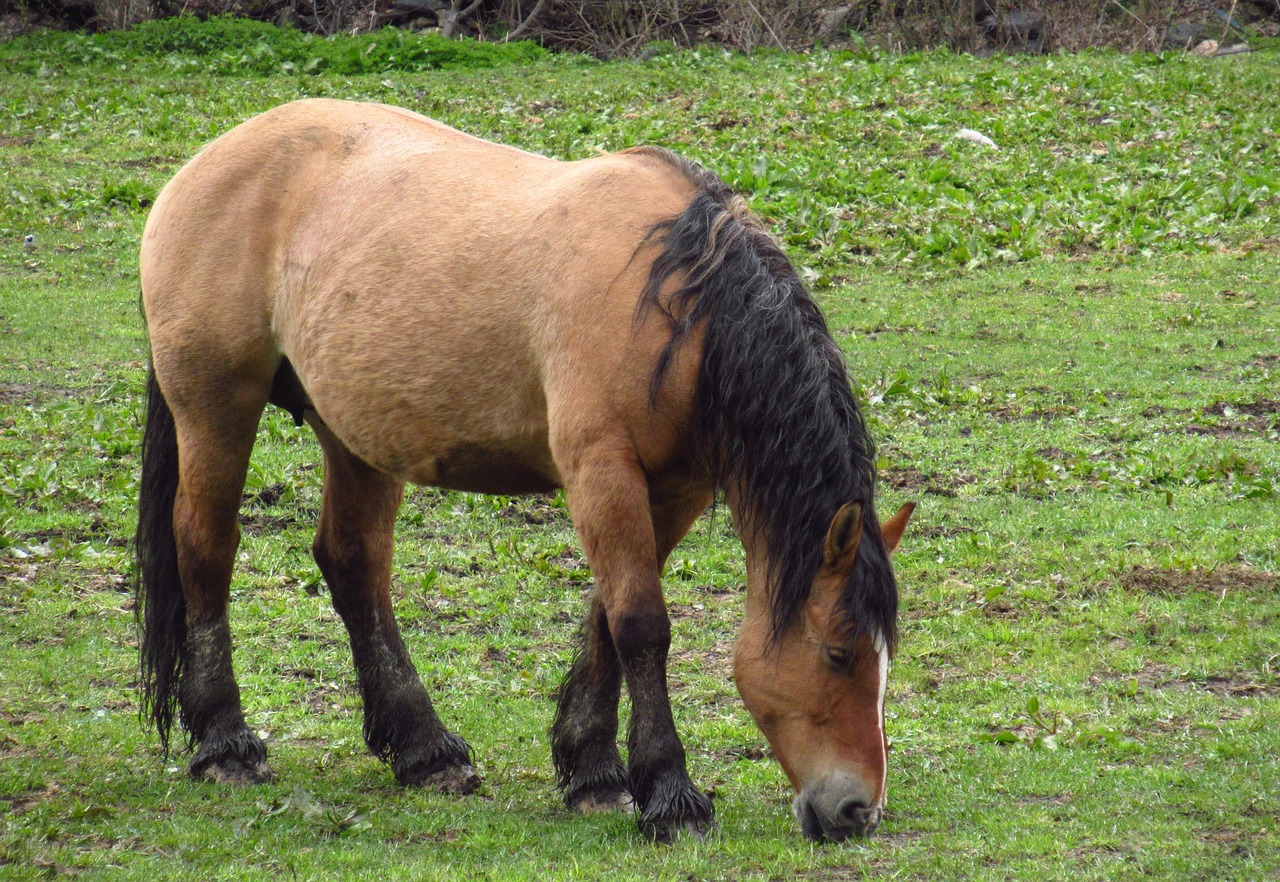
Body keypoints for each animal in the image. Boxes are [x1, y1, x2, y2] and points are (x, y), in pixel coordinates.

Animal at [134, 98, 913, 843]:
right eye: (839, 653)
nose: (858, 812)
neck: (678, 305)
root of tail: (204, 163)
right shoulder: (602, 471)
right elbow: (641, 625)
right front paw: (669, 795)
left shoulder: (676, 489)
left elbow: (607, 618)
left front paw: (594, 771)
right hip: (215, 410)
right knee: (205, 548)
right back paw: (226, 744)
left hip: (357, 436)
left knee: (354, 564)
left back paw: (424, 751)